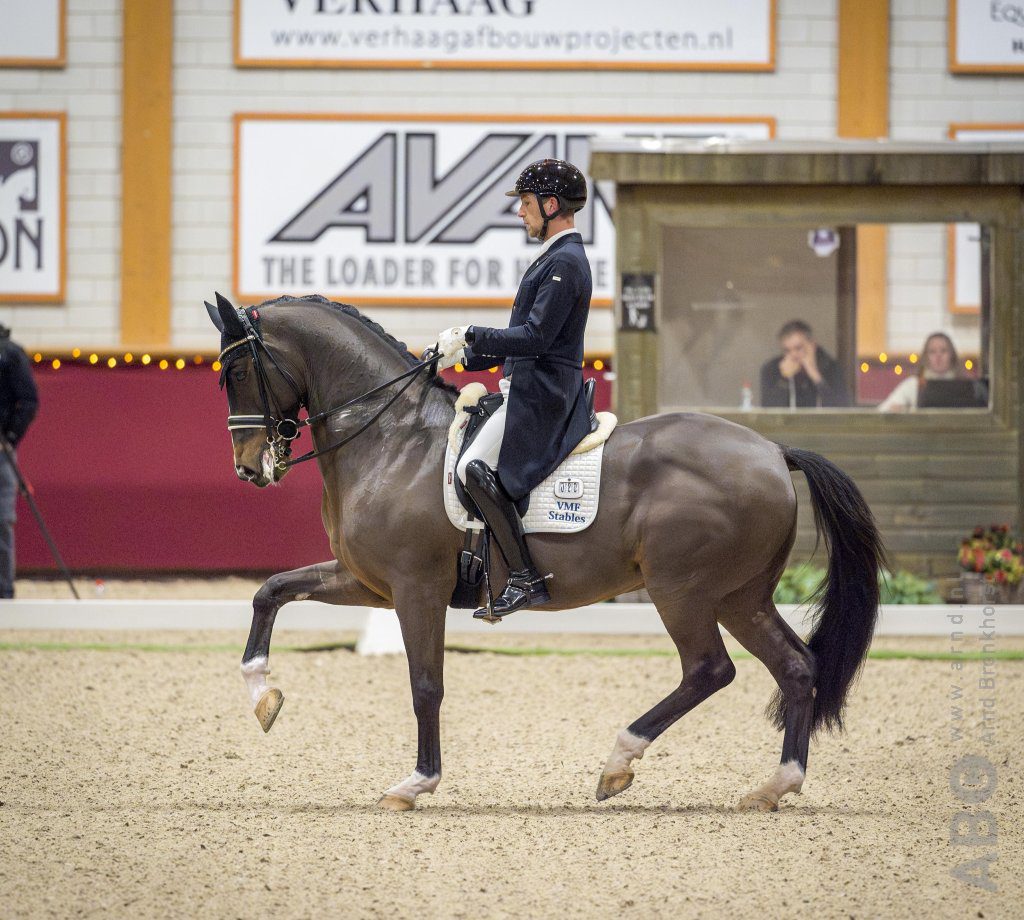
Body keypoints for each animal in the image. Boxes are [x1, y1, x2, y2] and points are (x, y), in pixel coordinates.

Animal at [207, 292, 886, 812]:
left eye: (236, 374)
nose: (247, 469)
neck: (392, 437)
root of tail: (773, 451)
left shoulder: (415, 588)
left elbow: (426, 684)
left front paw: (416, 784)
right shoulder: (366, 581)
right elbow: (270, 591)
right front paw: (262, 697)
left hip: (682, 590)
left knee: (709, 670)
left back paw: (618, 762)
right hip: (739, 595)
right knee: (795, 667)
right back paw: (774, 786)